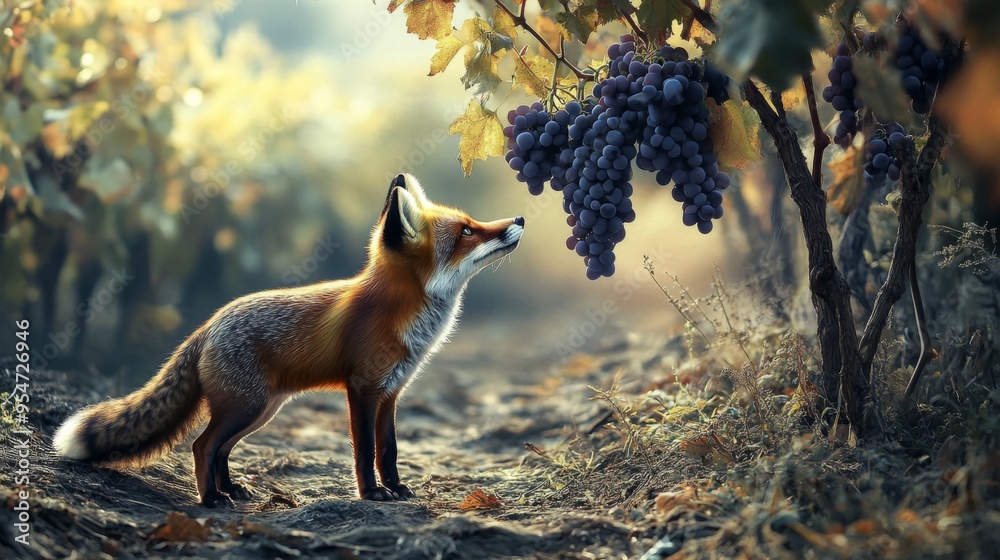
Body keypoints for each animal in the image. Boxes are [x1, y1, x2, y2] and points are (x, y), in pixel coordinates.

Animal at [53, 173, 524, 507]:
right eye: (466, 231)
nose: (519, 219)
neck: (404, 315)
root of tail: (208, 324)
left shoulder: (391, 392)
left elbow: (388, 450)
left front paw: (396, 488)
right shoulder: (363, 389)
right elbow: (364, 451)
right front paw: (372, 495)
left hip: (260, 410)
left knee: (219, 449)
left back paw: (232, 490)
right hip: (246, 407)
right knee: (203, 445)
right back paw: (211, 500)